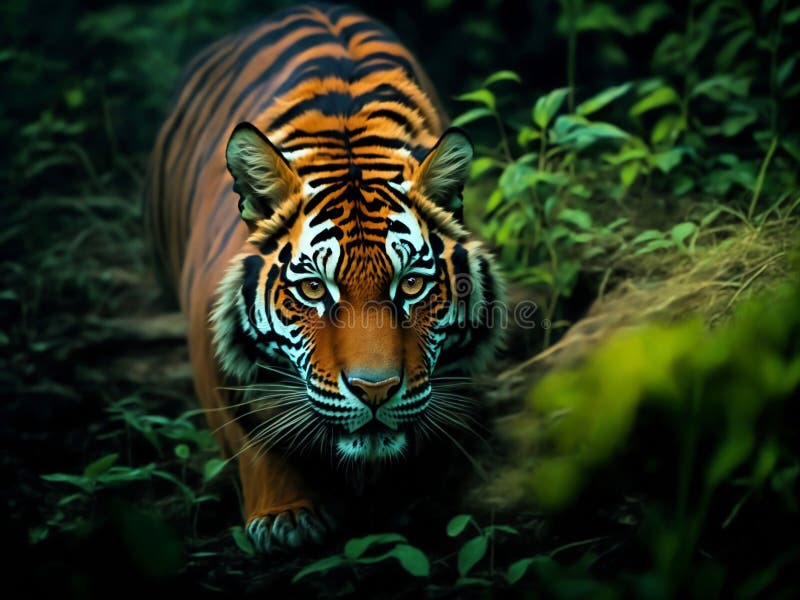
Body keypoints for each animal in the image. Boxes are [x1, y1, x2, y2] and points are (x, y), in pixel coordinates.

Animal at [145, 3, 504, 553]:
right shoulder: (214, 361)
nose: (376, 390)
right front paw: (286, 516)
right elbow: (253, 438)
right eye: (314, 288)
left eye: (411, 285)